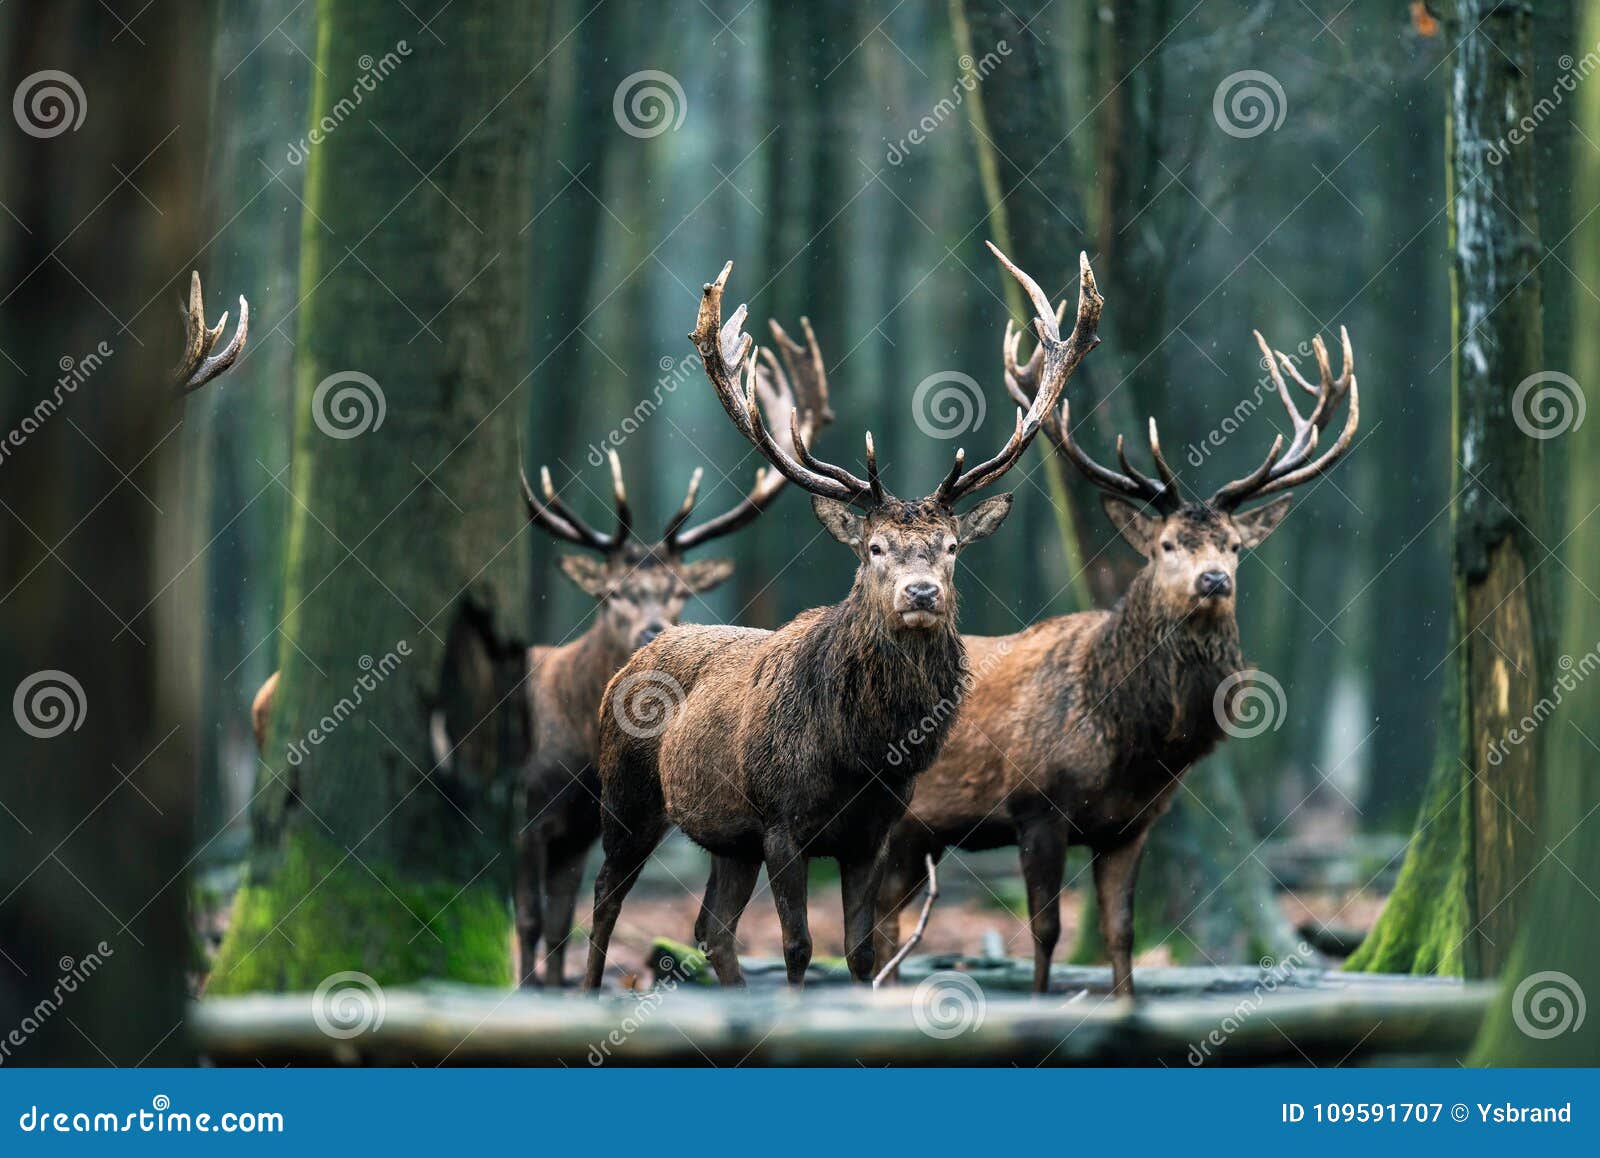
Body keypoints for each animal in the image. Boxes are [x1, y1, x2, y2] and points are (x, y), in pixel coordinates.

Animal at [581, 244, 1103, 991]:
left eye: (950, 547)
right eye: (874, 547)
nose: (921, 593)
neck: (862, 753)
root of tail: (638, 654)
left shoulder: (872, 833)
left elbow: (861, 950)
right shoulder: (782, 822)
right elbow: (800, 947)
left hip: (727, 838)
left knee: (712, 927)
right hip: (627, 796)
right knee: (604, 899)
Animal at [873, 319, 1359, 998]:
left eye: (1235, 545)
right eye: (1167, 544)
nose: (1214, 581)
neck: (1131, 739)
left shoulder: (1130, 826)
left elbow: (1120, 933)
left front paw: (1127, 1002)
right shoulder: (1036, 806)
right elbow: (1045, 932)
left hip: (919, 831)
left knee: (885, 916)